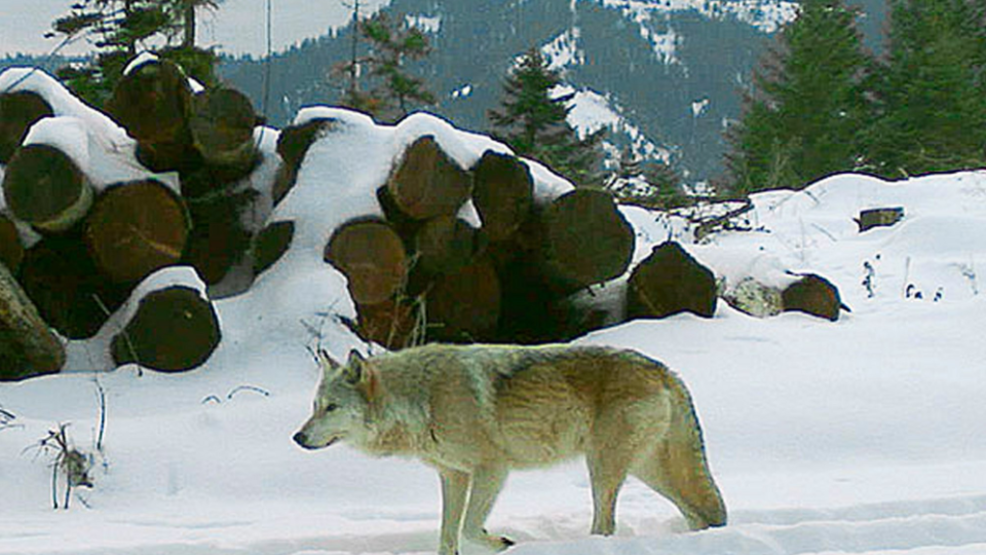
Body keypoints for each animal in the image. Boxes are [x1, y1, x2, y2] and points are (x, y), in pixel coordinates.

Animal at [293, 343, 726, 555]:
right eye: (314, 406)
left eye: (331, 408)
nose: (298, 437)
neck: (423, 399)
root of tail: (663, 369)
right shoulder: (453, 475)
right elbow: (447, 537)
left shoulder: (492, 469)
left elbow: (469, 528)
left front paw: (504, 543)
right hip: (646, 470)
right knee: (699, 513)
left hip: (603, 469)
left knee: (606, 526)